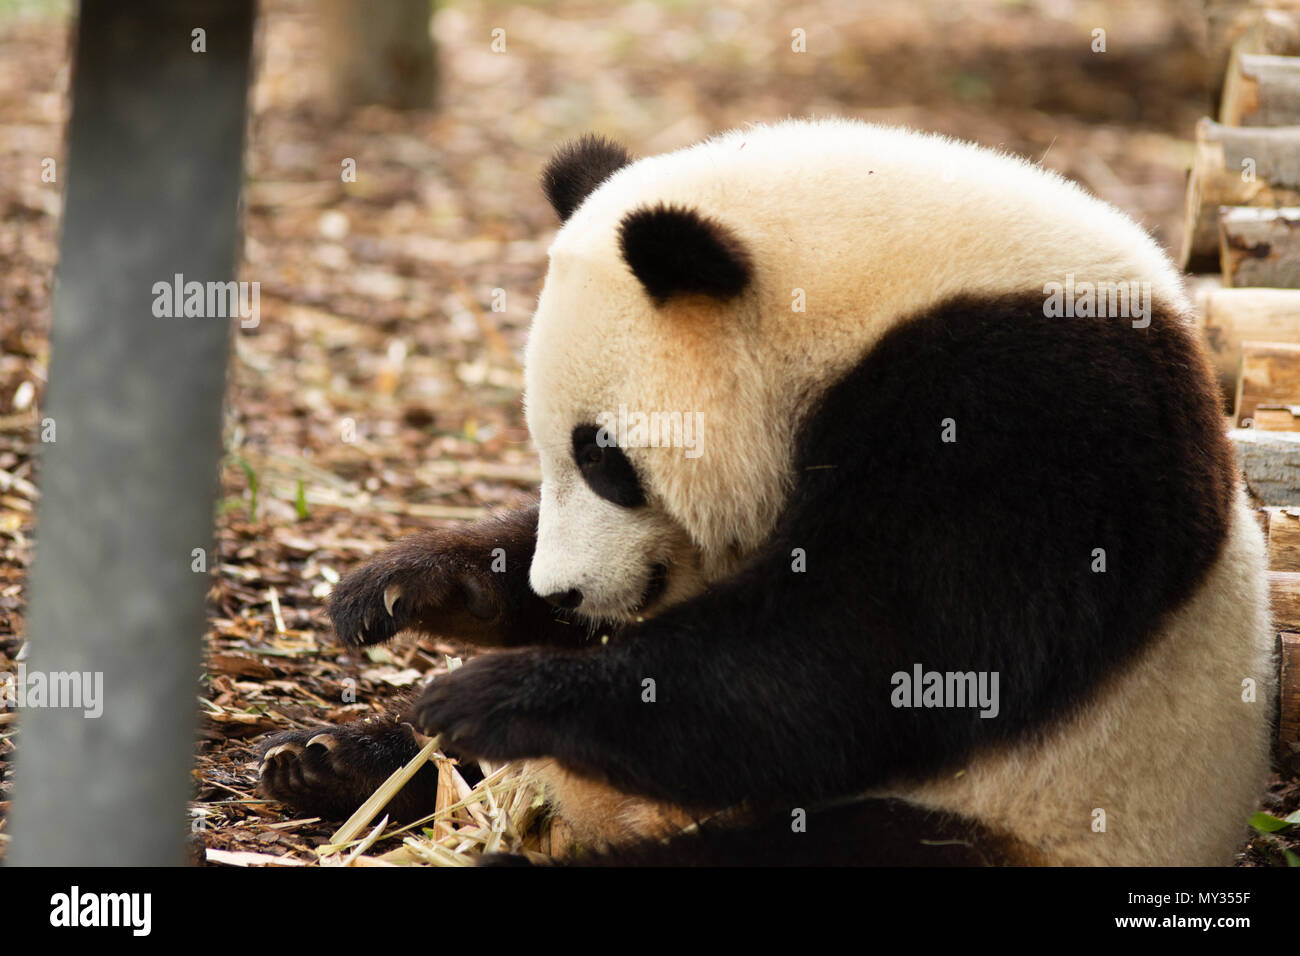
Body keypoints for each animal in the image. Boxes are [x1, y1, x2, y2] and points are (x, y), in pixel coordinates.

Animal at [259, 118, 1275, 865]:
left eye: (603, 459)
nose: (565, 592)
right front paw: (405, 586)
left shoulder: (1030, 403)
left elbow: (881, 648)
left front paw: (496, 693)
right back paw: (326, 762)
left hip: (1025, 817)